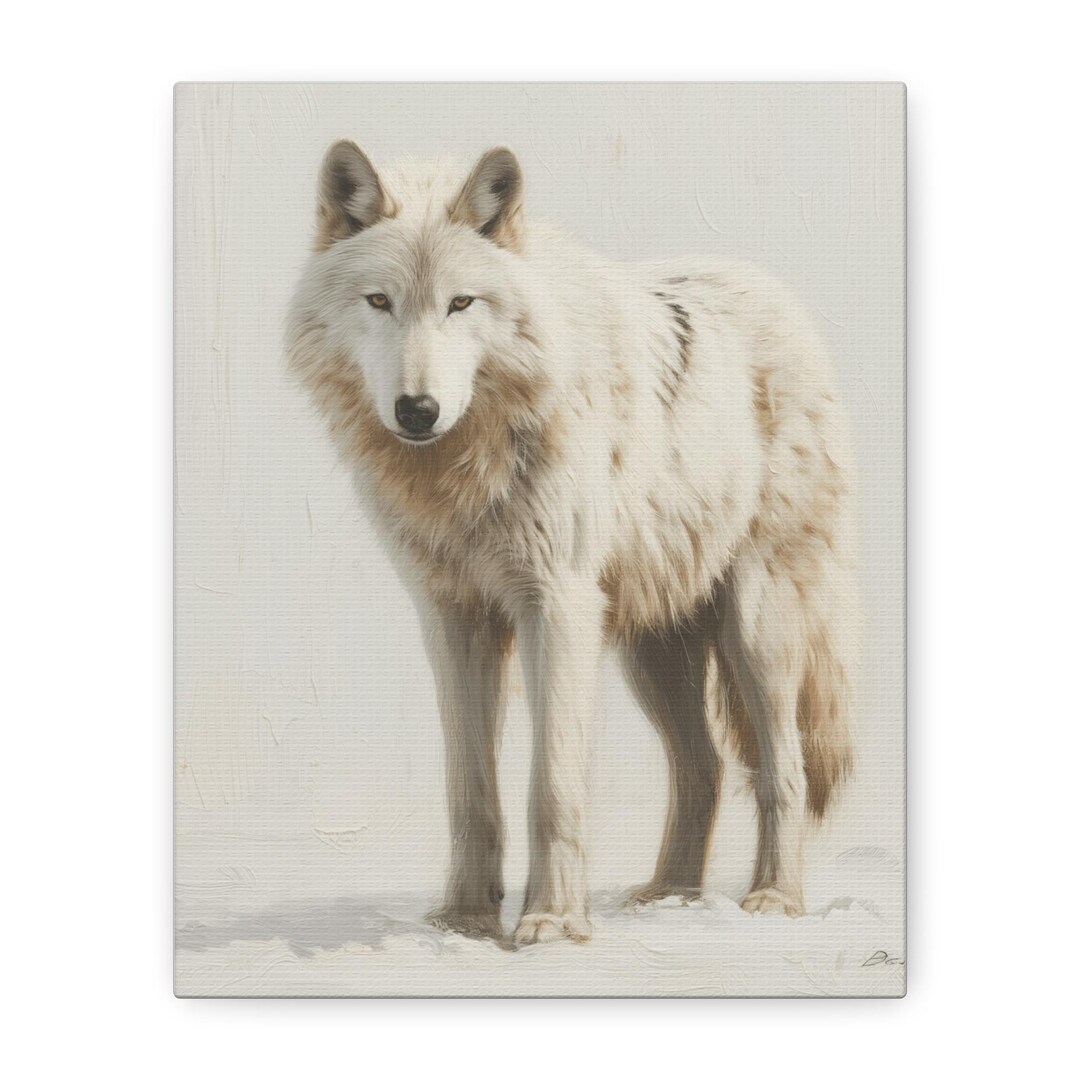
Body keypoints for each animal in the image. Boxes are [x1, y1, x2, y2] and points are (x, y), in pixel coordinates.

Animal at [286, 142, 855, 945]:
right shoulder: (453, 620)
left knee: (786, 768)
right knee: (703, 767)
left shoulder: (555, 608)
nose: (417, 409)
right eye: (379, 302)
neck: (471, 463)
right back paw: (669, 897)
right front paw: (466, 920)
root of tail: (777, 295)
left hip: (756, 630)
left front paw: (553, 921)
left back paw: (774, 899)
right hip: (652, 649)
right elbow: (471, 793)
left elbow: (551, 787)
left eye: (461, 304)